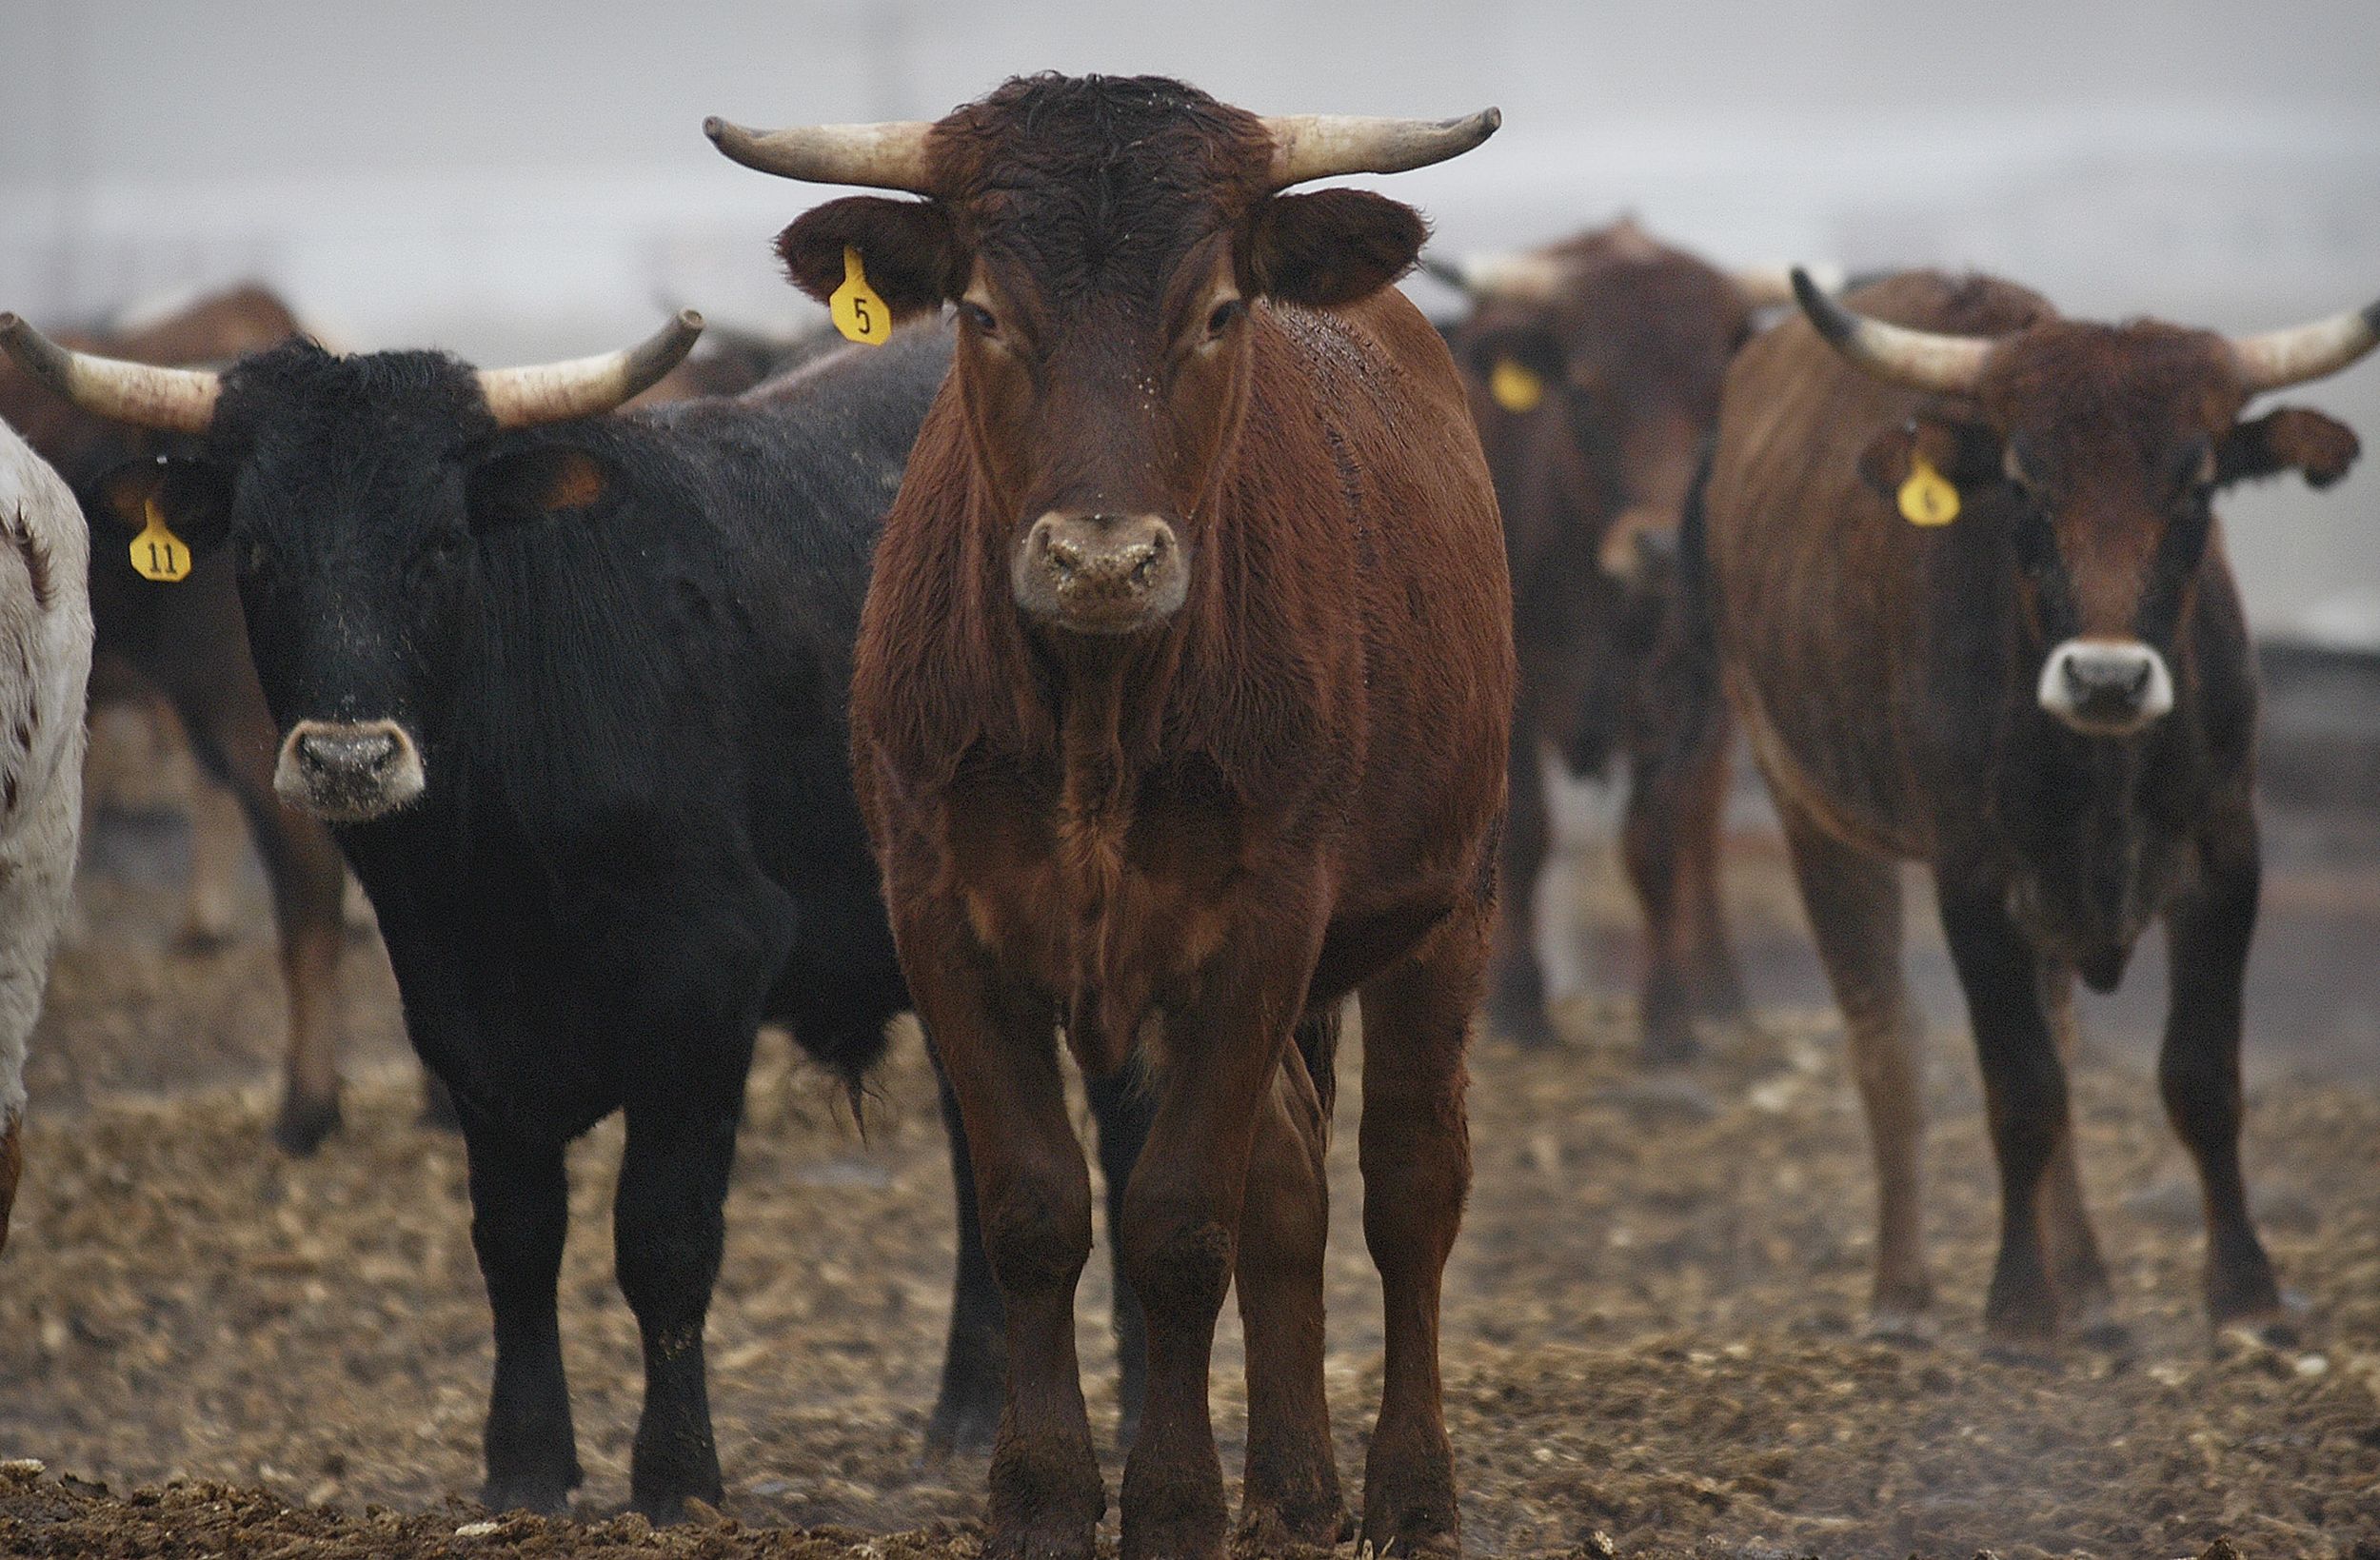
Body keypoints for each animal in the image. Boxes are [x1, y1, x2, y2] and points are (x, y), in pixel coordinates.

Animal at [708, 73, 1513, 1560]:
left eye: (1218, 311)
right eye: (980, 311)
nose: (1101, 559)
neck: (1093, 710)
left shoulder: (1263, 925)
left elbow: (1181, 1223)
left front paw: (1175, 1502)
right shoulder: (943, 920)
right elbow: (1038, 1210)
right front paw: (1037, 1494)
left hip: (1452, 904)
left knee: (1410, 1181)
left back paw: (1409, 1492)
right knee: (1295, 1178)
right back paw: (1294, 1490)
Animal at [1429, 220, 1795, 1059]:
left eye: (1715, 401)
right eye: (1585, 395)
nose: (1658, 546)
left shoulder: (1684, 690)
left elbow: (1657, 838)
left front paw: (1670, 1017)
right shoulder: (1514, 693)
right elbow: (1526, 836)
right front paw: (1521, 1007)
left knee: (1702, 826)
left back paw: (1720, 985)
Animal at [1694, 266, 2376, 1349]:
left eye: (2196, 488)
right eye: (2022, 485)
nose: (2105, 678)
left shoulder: (2230, 850)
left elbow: (2200, 1077)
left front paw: (2245, 1293)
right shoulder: (1973, 877)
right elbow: (2020, 1091)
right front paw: (2016, 1307)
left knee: (2054, 1031)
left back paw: (2090, 1285)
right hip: (1810, 808)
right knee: (1885, 1039)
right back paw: (1902, 1296)